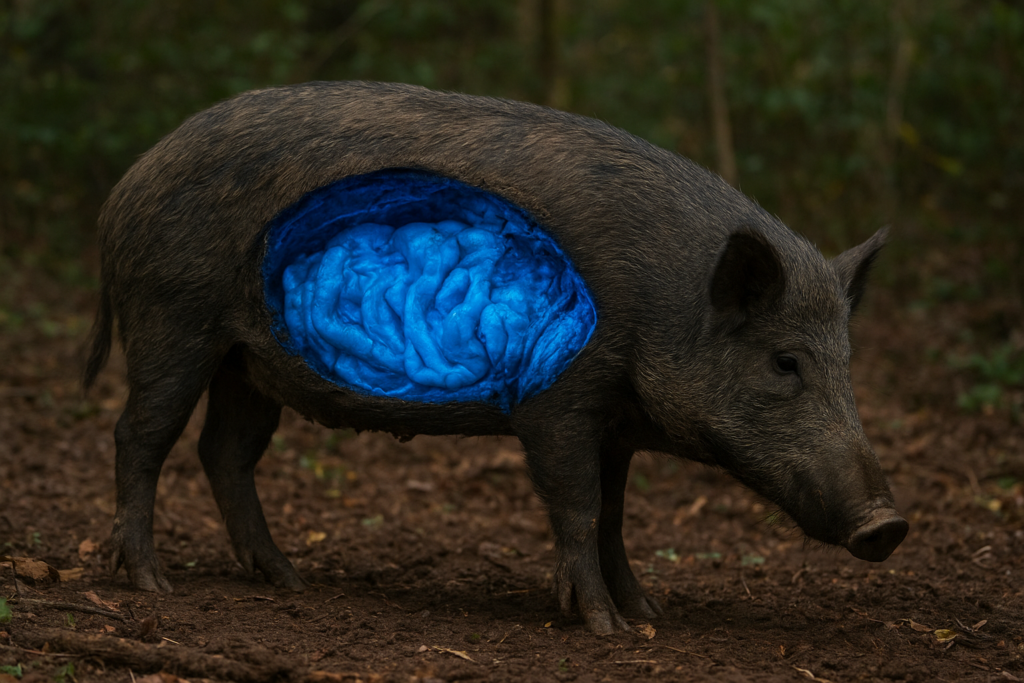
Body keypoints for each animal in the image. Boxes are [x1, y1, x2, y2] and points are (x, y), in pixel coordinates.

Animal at [84, 80, 907, 634]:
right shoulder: (561, 402)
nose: (888, 524)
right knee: (140, 434)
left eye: (845, 361)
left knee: (225, 451)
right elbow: (578, 505)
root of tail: (122, 190)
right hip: (173, 317)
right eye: (784, 362)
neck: (665, 304)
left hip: (248, 362)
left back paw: (287, 582)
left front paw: (650, 614)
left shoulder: (615, 423)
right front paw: (605, 628)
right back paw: (153, 586)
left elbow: (615, 515)